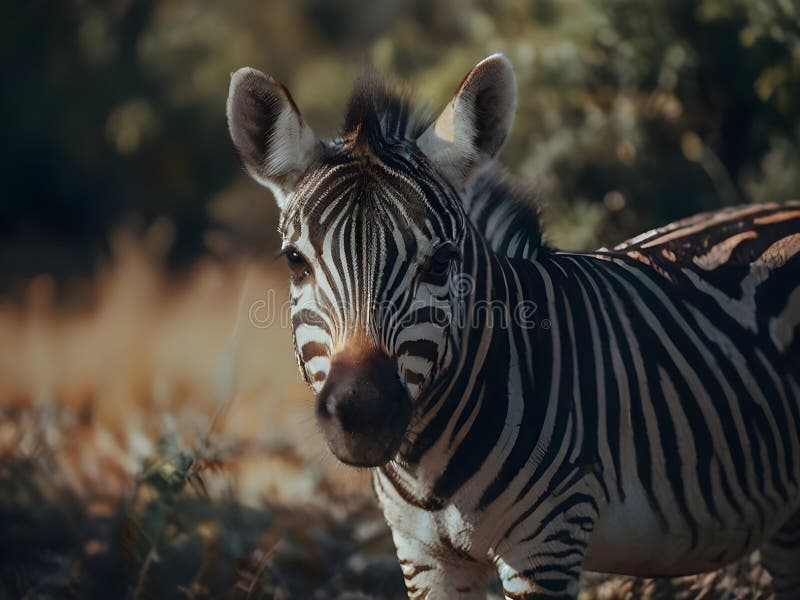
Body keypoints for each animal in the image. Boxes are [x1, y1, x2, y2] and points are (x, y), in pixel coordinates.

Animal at [226, 55, 800, 599]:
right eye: (295, 262)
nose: (363, 417)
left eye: (441, 263)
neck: (427, 467)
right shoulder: (424, 556)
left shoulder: (546, 542)